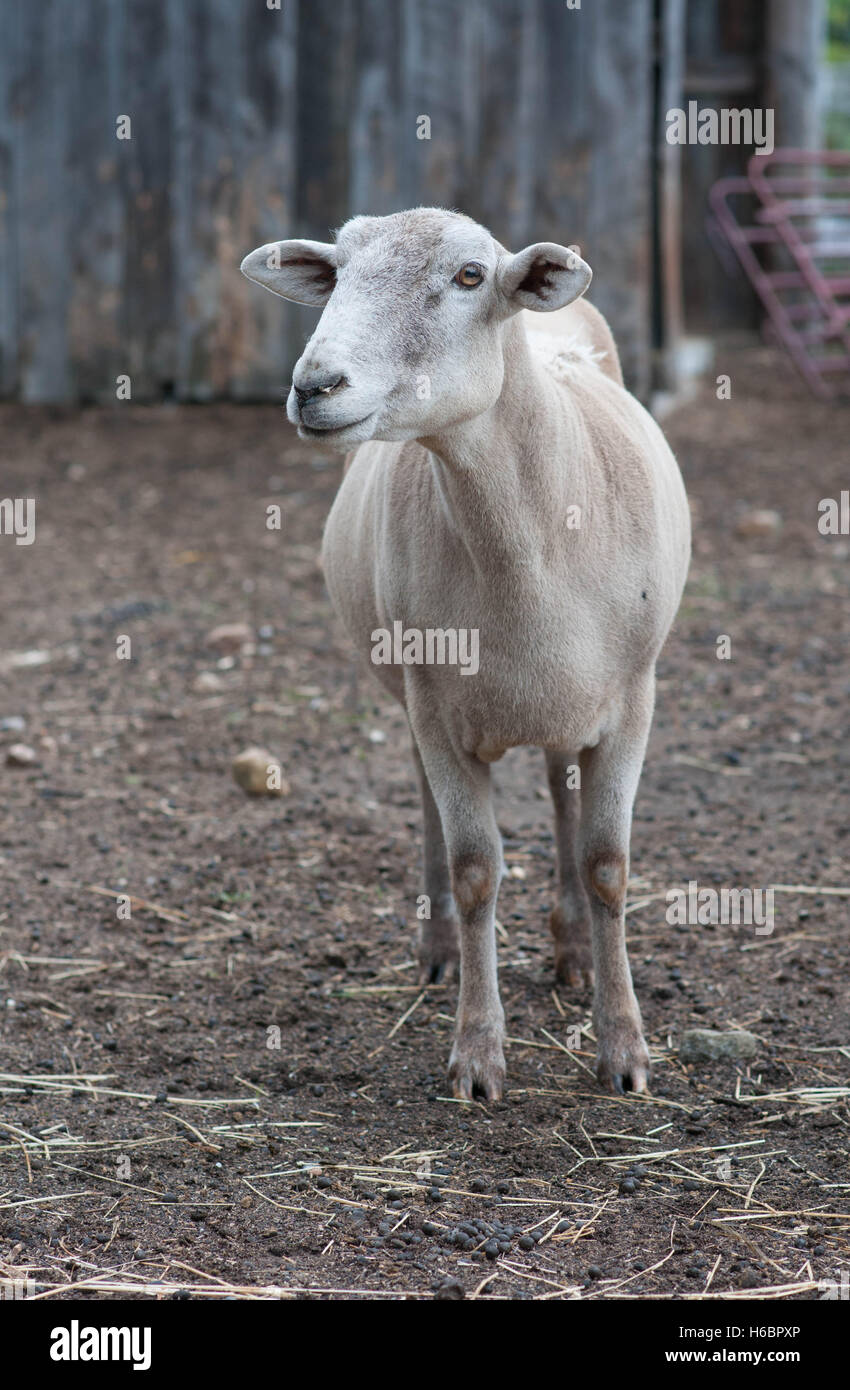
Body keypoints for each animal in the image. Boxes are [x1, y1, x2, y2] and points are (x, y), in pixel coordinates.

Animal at [241, 208, 691, 1100]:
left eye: (470, 277)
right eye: (337, 272)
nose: (315, 385)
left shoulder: (633, 700)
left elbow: (608, 866)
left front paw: (624, 1049)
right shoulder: (437, 710)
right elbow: (476, 870)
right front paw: (479, 1054)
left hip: (572, 702)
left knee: (560, 791)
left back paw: (571, 951)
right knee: (432, 804)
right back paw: (442, 950)